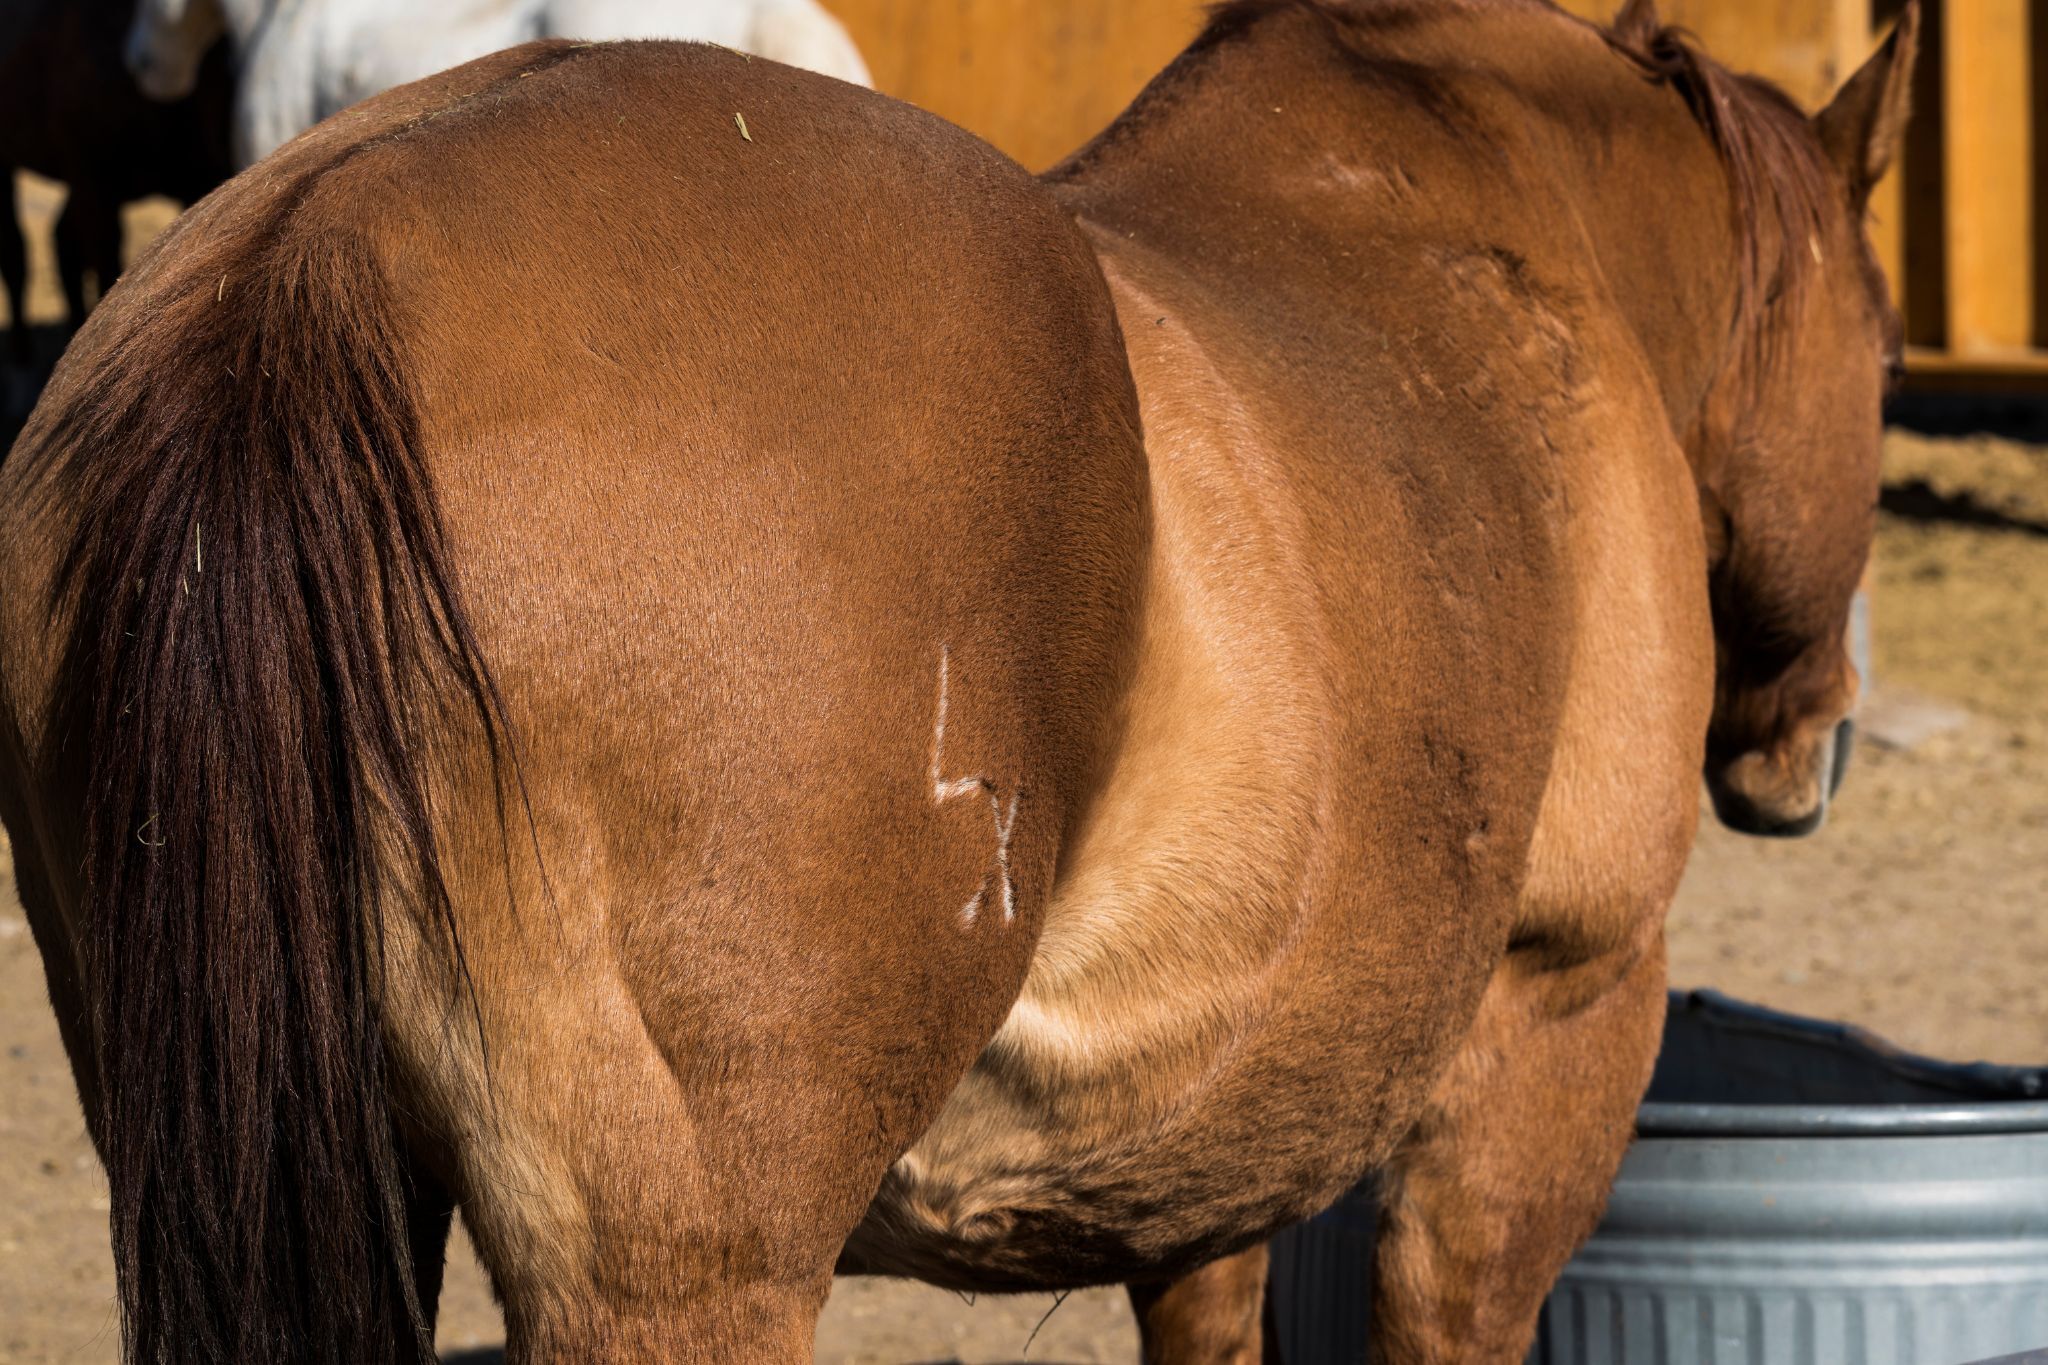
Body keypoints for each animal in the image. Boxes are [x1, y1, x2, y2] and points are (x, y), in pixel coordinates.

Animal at [0, 0, 1916, 1359]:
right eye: (1889, 351)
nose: (1811, 741)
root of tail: (308, 257)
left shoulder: (1218, 1150)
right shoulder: (1544, 1045)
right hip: (680, 1281)